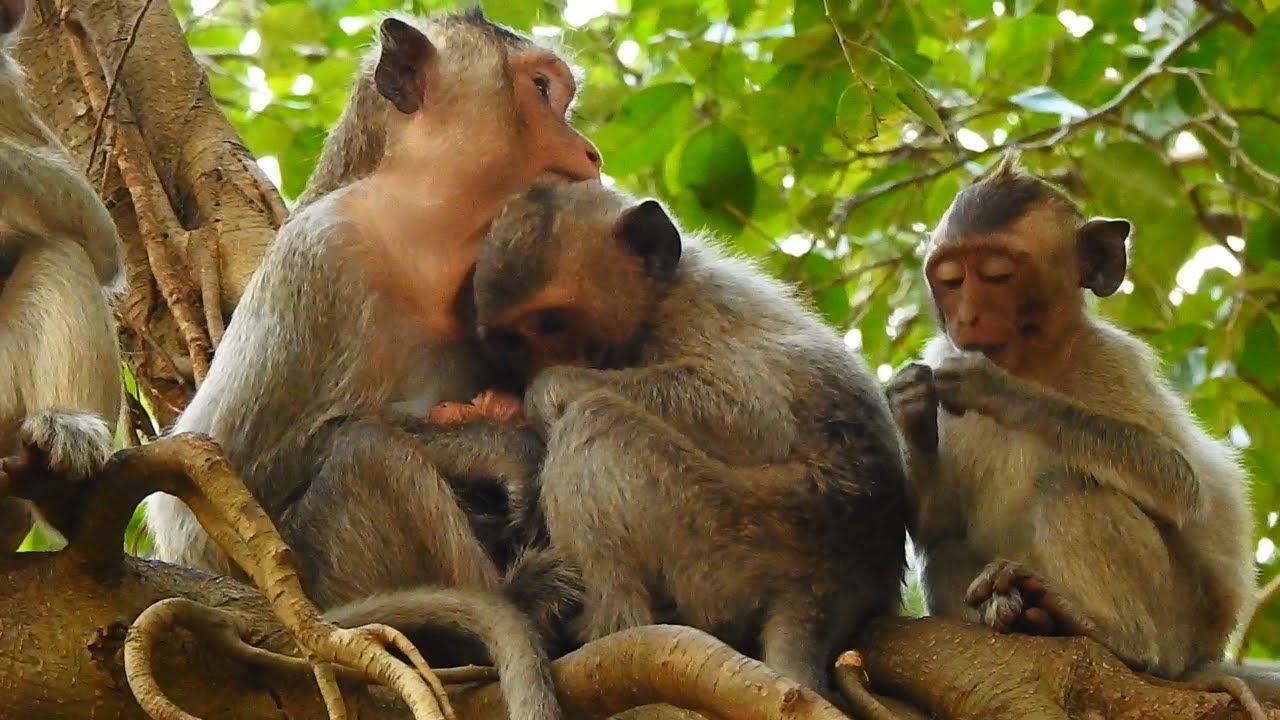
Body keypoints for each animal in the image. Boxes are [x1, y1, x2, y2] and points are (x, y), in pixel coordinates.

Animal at [141, 11, 601, 719]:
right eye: (544, 90)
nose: (592, 152)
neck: (421, 246)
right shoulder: (316, 260)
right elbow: (199, 523)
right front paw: (495, 443)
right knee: (367, 454)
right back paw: (515, 602)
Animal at [469, 179, 910, 700]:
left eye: (551, 323)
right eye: (514, 341)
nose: (541, 364)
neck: (657, 300)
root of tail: (829, 584)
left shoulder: (695, 315)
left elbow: (750, 417)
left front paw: (542, 392)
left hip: (734, 536)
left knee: (596, 424)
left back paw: (610, 627)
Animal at [886, 152, 1256, 685]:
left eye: (997, 275)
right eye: (951, 279)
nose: (968, 317)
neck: (1034, 360)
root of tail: (1203, 652)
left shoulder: (1112, 359)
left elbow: (1177, 481)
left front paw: (1001, 390)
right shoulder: (943, 352)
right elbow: (937, 524)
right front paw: (910, 402)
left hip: (1179, 619)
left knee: (1071, 484)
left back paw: (1109, 633)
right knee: (946, 549)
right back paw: (1019, 613)